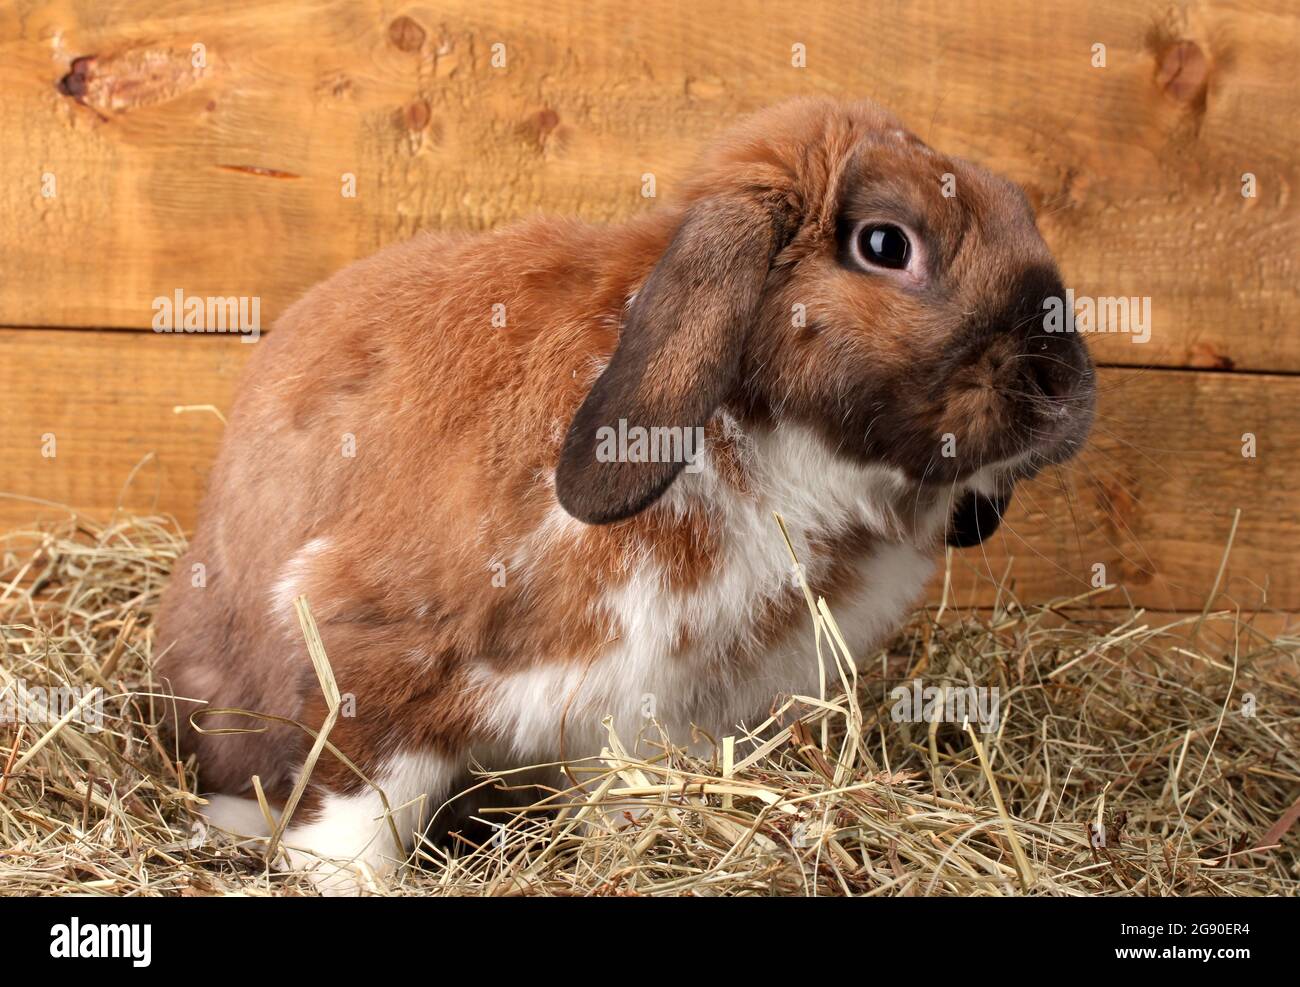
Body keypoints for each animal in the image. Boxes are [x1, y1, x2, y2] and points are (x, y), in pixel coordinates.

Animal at [154, 97, 1095, 892]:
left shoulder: (644, 717)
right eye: (887, 245)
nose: (1067, 385)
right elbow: (354, 806)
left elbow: (621, 796)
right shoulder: (372, 647)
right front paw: (345, 879)